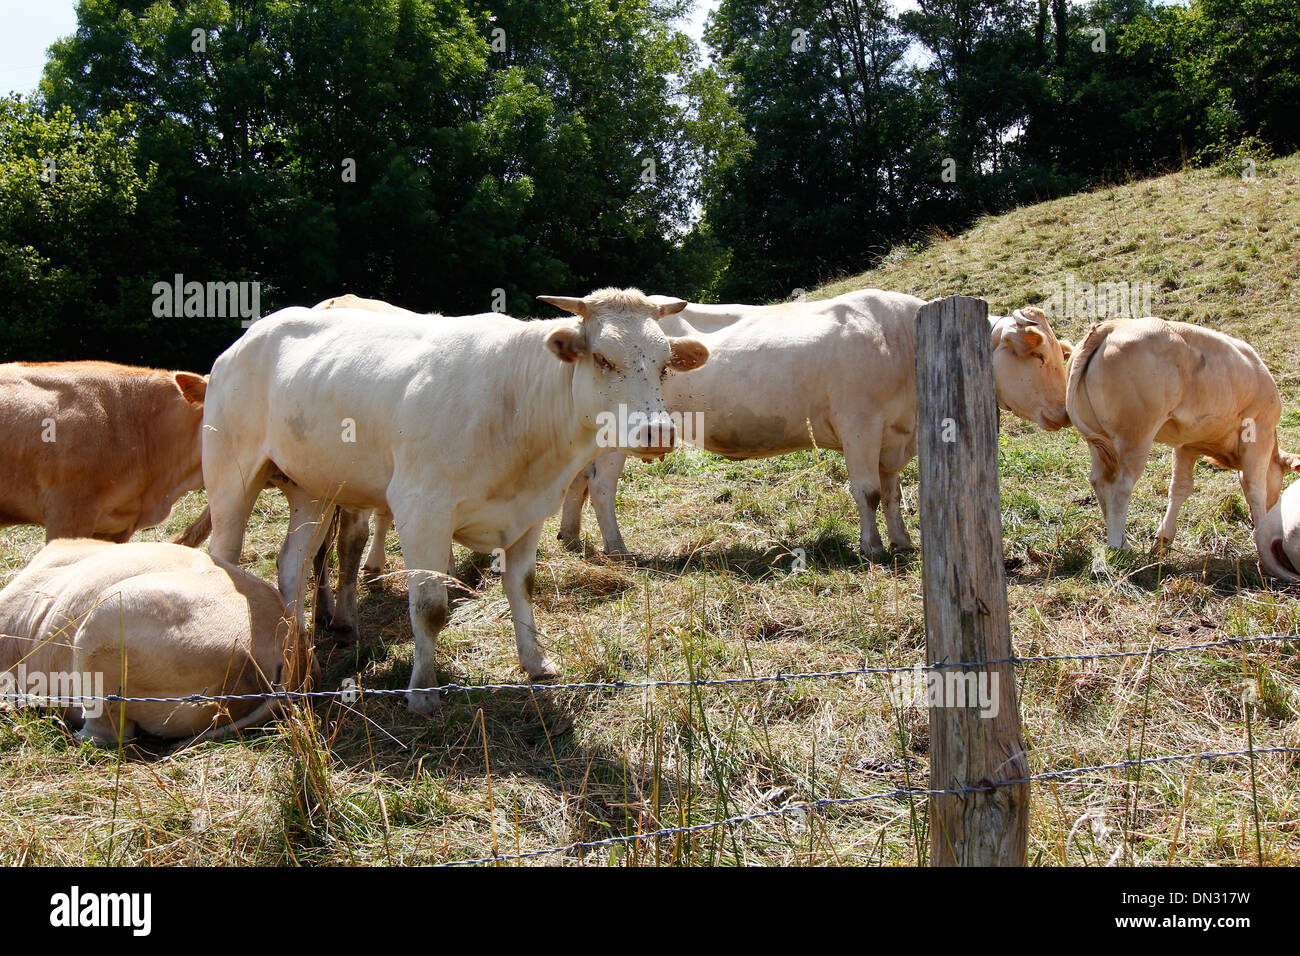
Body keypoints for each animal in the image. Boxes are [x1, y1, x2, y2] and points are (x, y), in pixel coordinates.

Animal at [201, 288, 709, 713]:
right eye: (602, 359)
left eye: (665, 364)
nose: (658, 432)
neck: (516, 408)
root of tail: (246, 339)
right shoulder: (421, 510)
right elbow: (430, 608)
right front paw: (423, 691)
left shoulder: (528, 515)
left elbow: (522, 588)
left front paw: (536, 662)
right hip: (230, 476)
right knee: (223, 555)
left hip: (314, 487)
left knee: (292, 561)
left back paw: (299, 649)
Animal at [559, 293, 1073, 557]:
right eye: (1037, 355)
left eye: (1059, 354)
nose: (1065, 413)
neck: (906, 342)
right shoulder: (860, 423)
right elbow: (867, 491)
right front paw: (872, 548)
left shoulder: (895, 433)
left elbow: (893, 493)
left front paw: (903, 542)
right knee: (600, 485)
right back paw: (617, 546)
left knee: (577, 481)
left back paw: (570, 537)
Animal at [1066, 317, 1300, 571]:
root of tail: (1113, 325)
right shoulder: (1259, 435)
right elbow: (1255, 487)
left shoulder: (1187, 445)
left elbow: (1180, 488)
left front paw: (1163, 539)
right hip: (1136, 436)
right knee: (1121, 486)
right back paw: (1118, 545)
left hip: (1100, 442)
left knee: (1100, 480)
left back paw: (1123, 539)